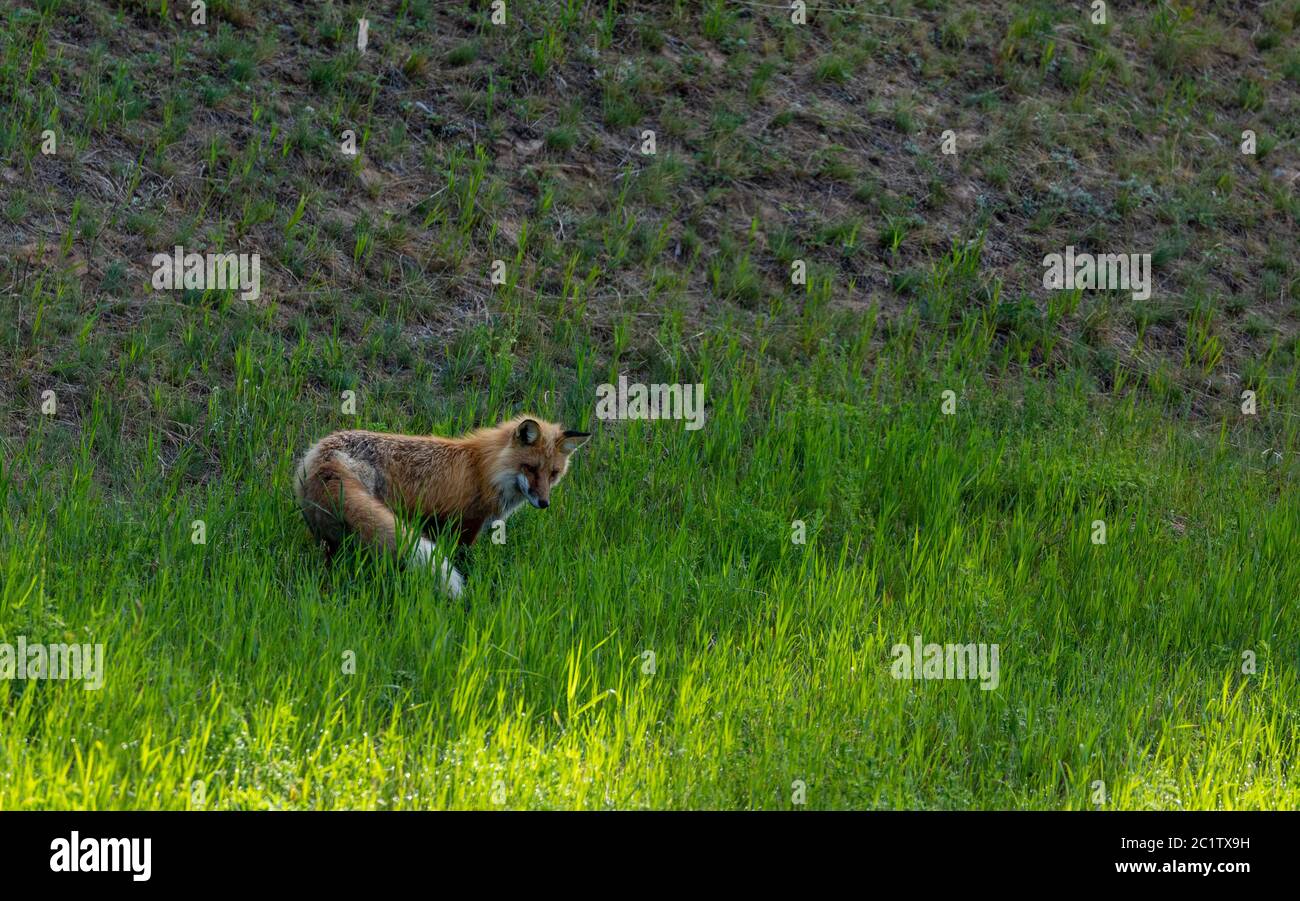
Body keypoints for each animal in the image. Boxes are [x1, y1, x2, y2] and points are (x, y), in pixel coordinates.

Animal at [293, 416, 591, 599]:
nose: (543, 503)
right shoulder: (466, 525)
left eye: (553, 474)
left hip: (330, 528)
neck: (484, 470)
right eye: (529, 468)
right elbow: (462, 557)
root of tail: (326, 453)